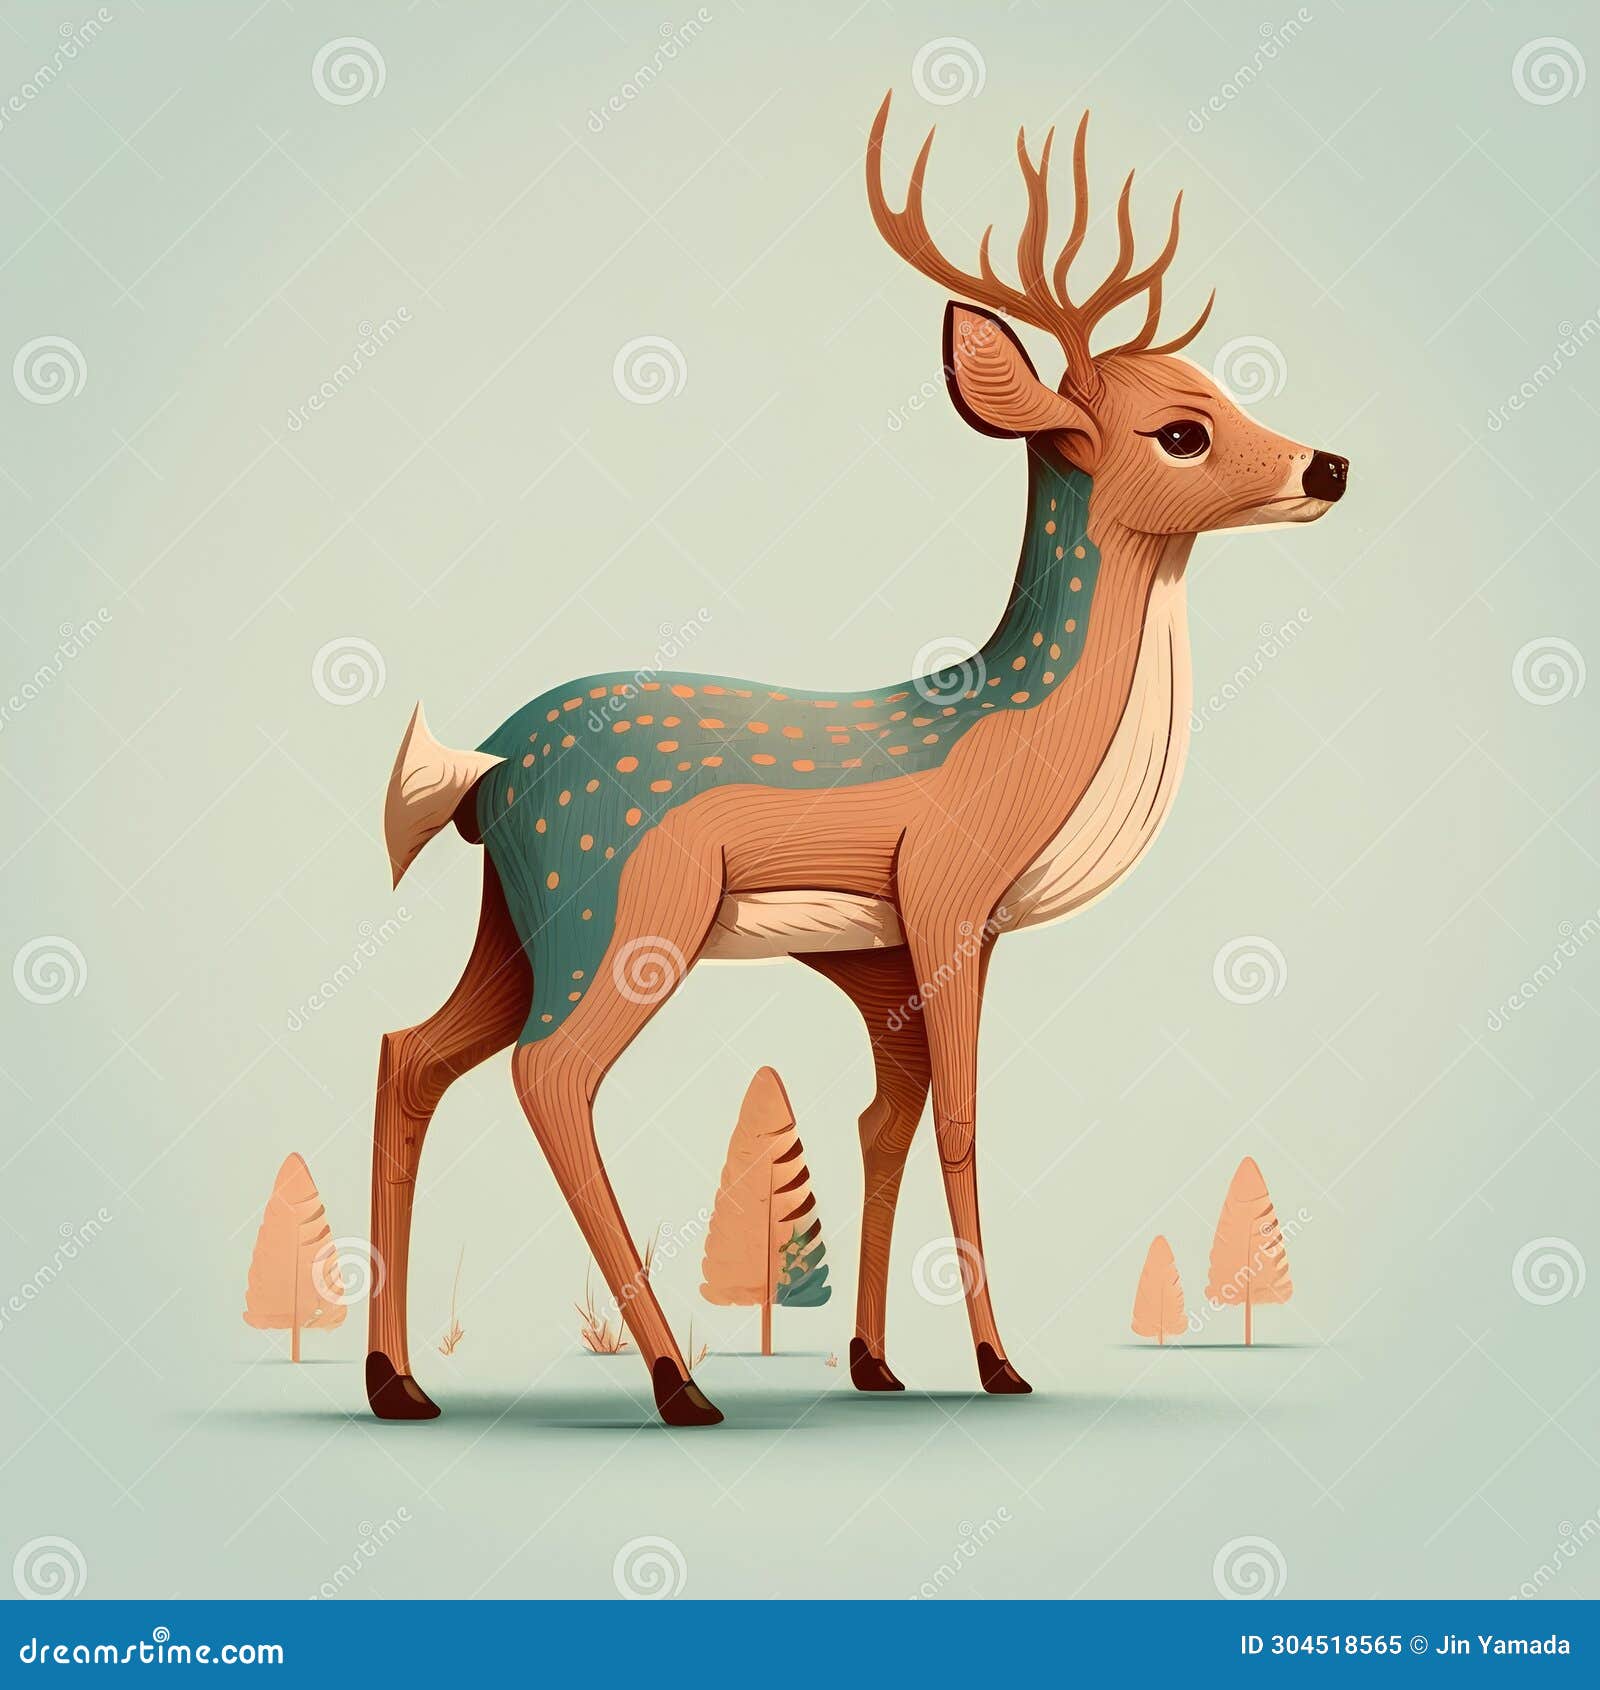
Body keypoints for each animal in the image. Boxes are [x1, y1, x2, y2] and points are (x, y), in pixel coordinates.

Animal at [363, 93, 1349, 1429]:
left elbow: (888, 1118)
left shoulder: (881, 954)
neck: (1011, 730)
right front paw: (999, 1364)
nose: (1330, 465)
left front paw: (878, 1361)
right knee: (550, 1076)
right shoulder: (944, 892)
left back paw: (398, 1381)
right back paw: (678, 1384)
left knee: (409, 1052)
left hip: (516, 920)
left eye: (1223, 390)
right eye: (1183, 430)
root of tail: (484, 766)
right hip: (620, 904)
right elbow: (963, 1123)